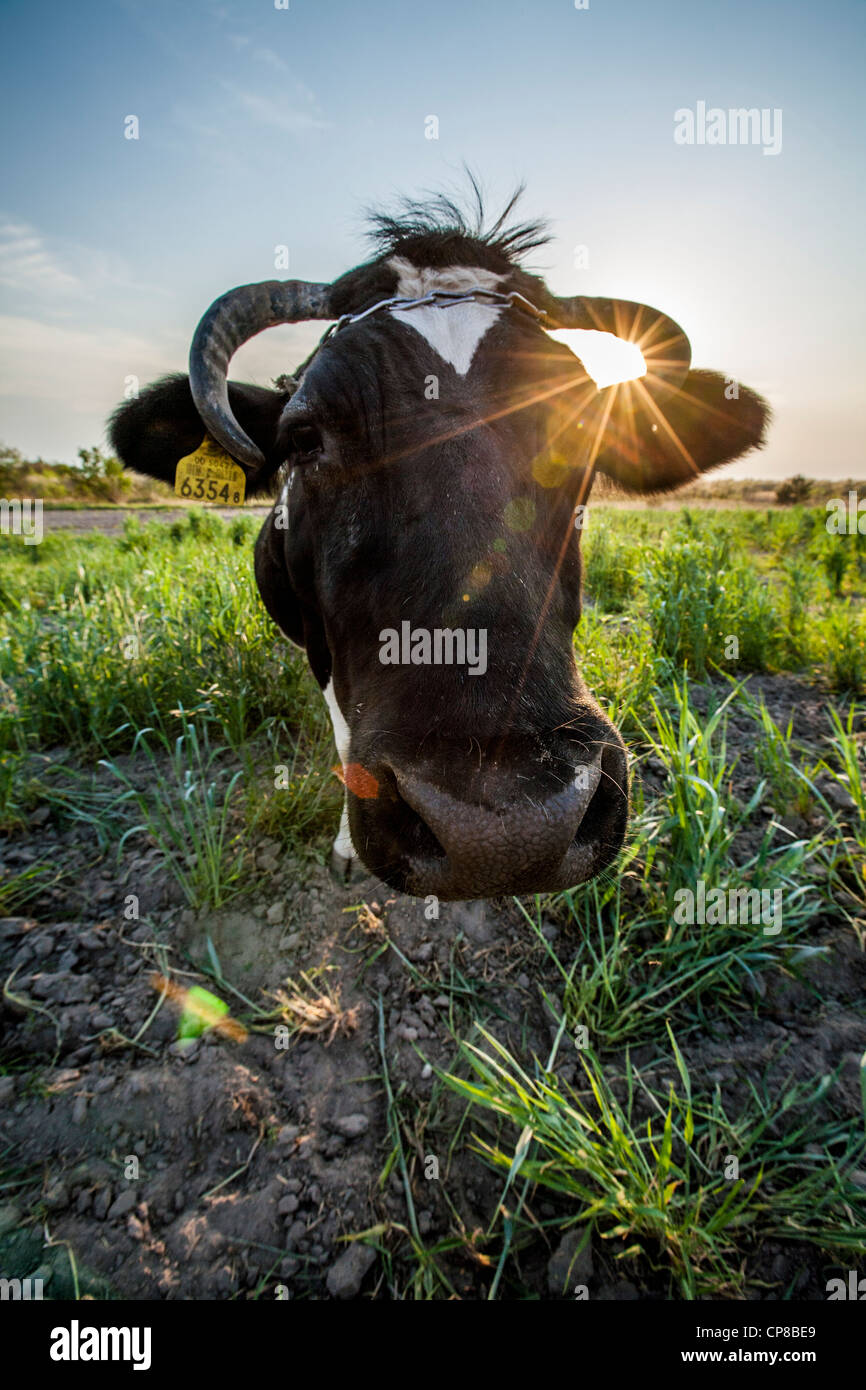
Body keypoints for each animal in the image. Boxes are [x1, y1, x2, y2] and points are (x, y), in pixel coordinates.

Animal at [109, 188, 769, 901]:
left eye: (584, 432)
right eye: (304, 436)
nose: (507, 832)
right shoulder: (321, 648)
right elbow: (342, 733)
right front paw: (344, 847)